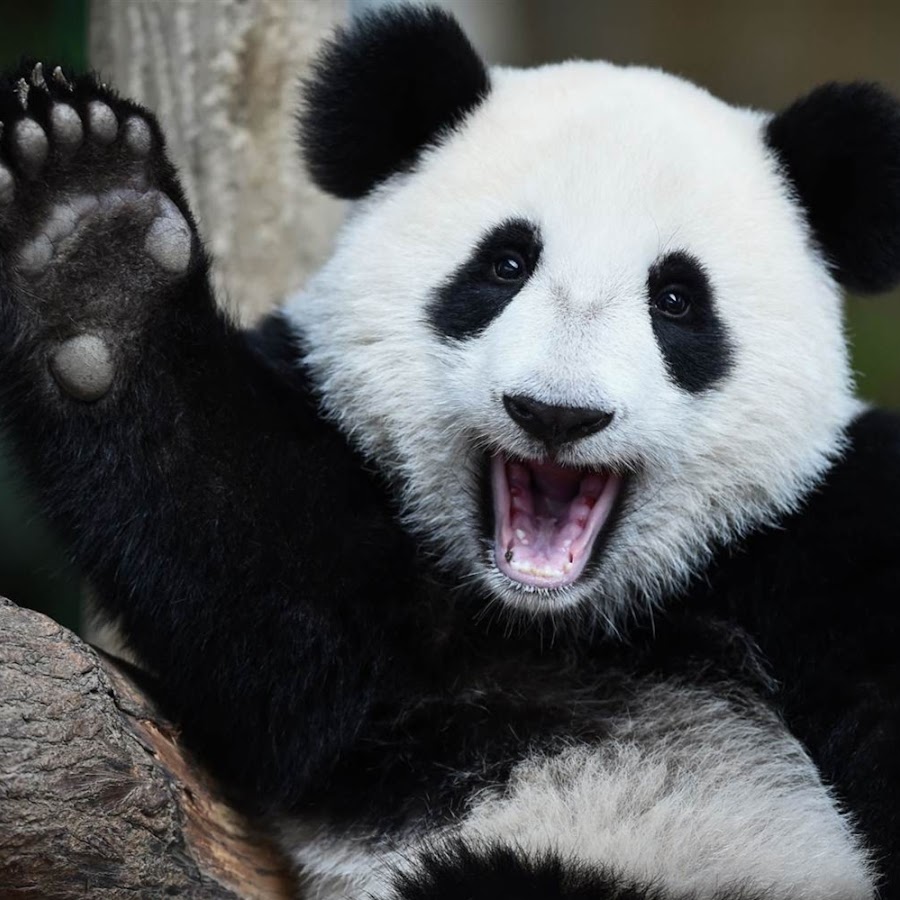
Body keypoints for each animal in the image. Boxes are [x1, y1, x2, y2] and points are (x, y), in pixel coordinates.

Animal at [0, 5, 899, 899]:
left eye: (676, 299)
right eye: (505, 264)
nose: (557, 413)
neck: (563, 625)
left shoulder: (827, 532)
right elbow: (259, 578)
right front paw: (94, 238)